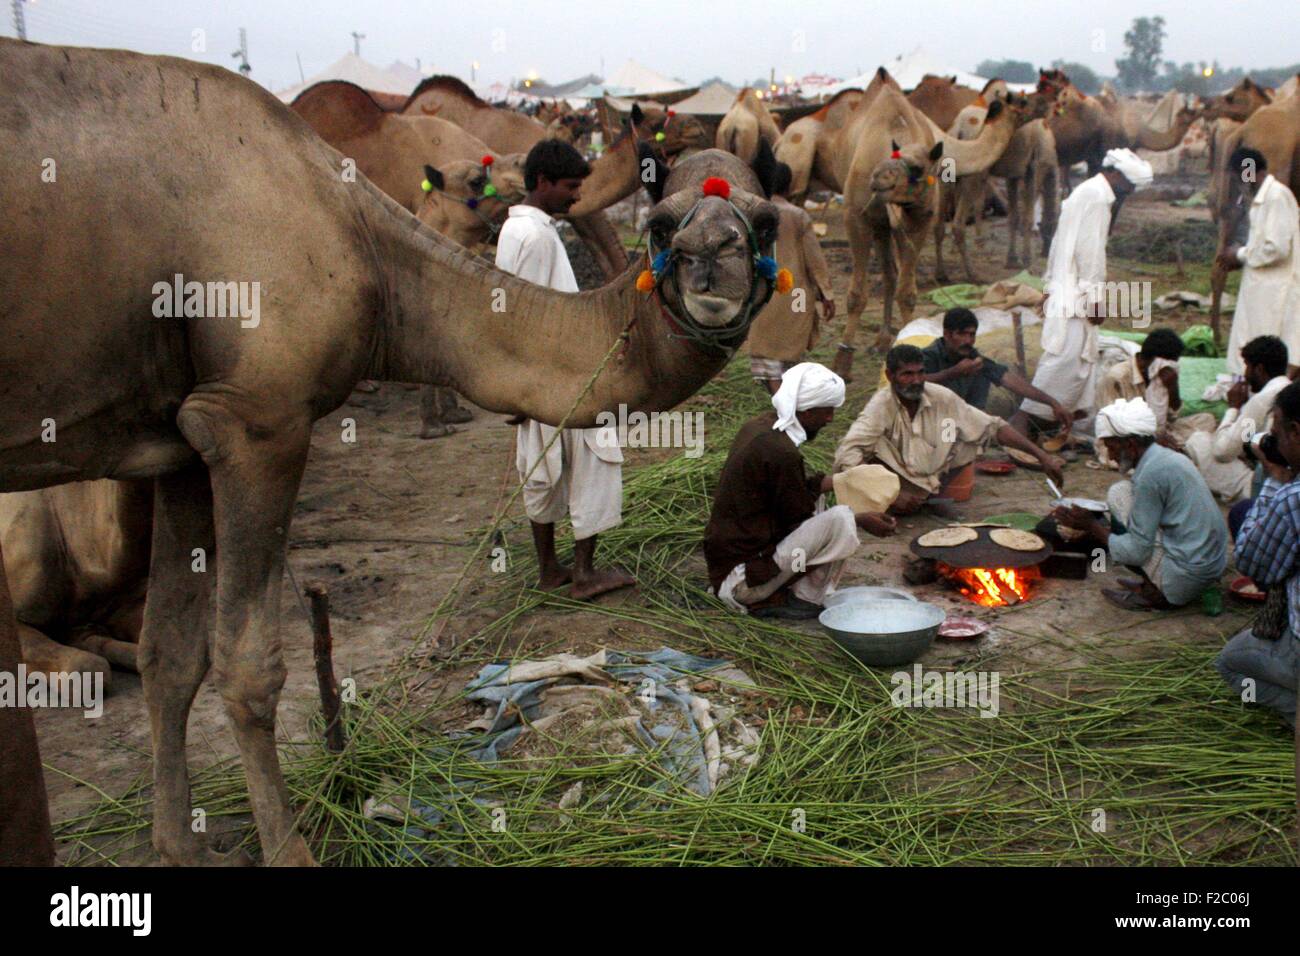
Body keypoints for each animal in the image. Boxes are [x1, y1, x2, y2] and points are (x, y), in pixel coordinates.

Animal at [1, 38, 785, 865]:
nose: (710, 256)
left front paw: (180, 846)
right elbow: (247, 666)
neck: (368, 250)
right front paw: (290, 850)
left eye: (764, 221)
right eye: (663, 226)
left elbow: (174, 654)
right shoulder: (253, 418)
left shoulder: (182, 441)